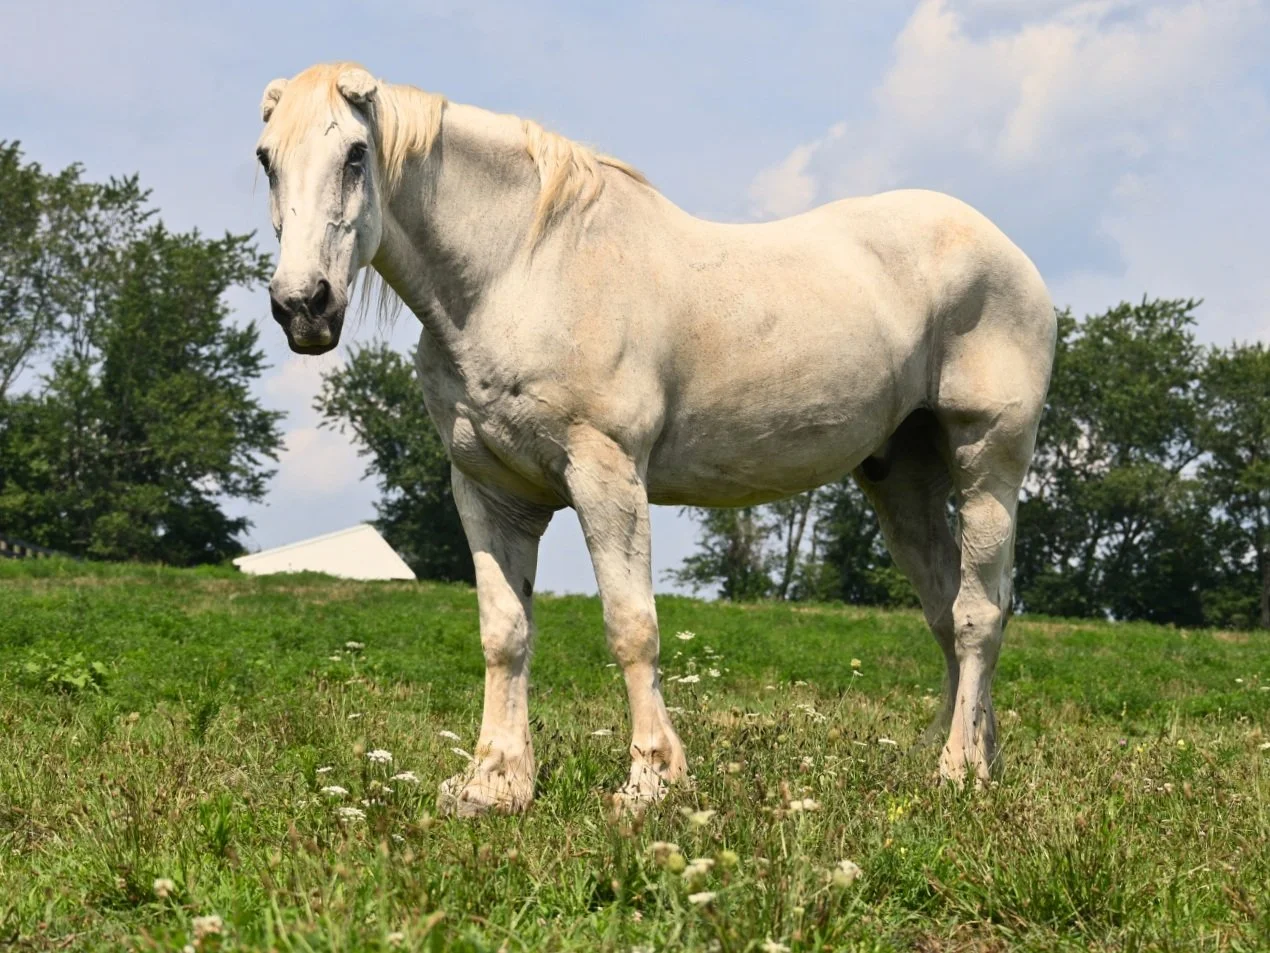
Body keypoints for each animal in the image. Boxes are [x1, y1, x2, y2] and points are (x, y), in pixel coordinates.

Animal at [255, 62, 1056, 816]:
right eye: (266, 159)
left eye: (357, 153)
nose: (303, 306)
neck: (519, 271)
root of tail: (1011, 255)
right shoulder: (488, 490)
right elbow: (504, 631)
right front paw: (494, 784)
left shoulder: (605, 474)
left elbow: (631, 625)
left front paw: (651, 780)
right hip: (902, 478)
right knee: (945, 610)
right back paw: (965, 757)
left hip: (988, 465)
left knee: (977, 615)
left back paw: (958, 772)